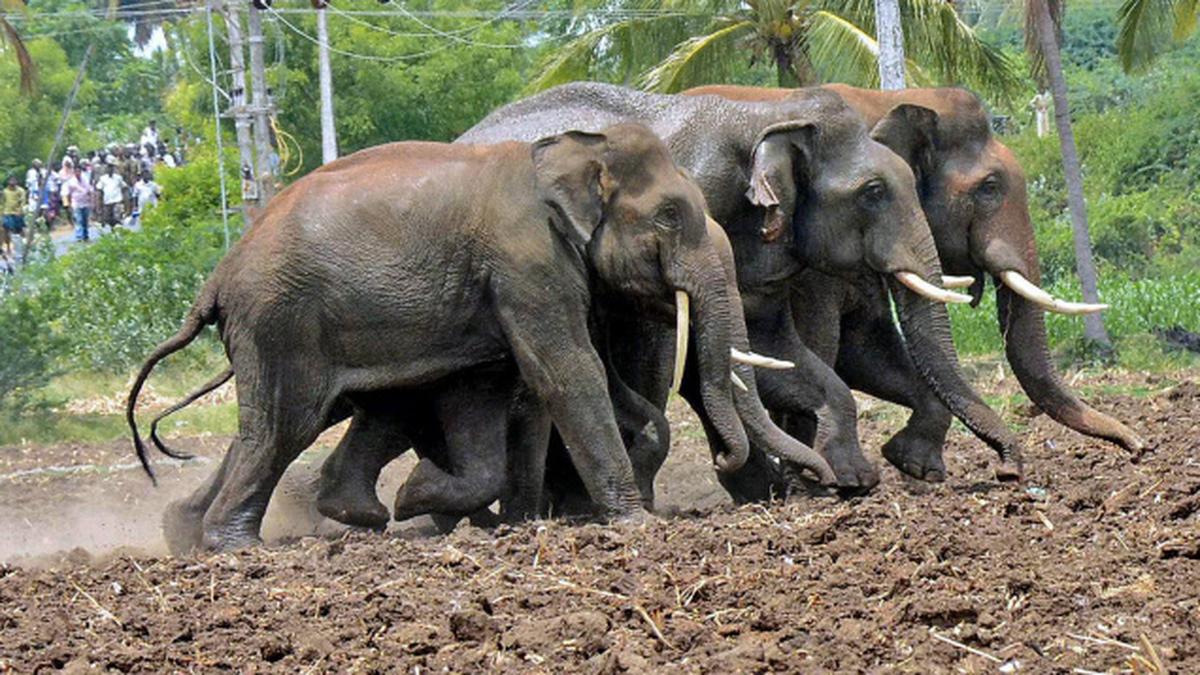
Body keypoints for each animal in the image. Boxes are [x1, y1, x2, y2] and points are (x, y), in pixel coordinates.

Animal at [125, 123, 836, 553]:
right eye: (668, 216)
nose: (819, 483)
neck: (571, 156)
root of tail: (218, 274)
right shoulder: (526, 262)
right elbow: (565, 371)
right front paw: (634, 525)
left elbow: (485, 391)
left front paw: (421, 499)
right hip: (281, 323)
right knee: (281, 425)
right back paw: (236, 548)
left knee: (330, 417)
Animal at [684, 83, 1143, 483]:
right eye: (990, 187)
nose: (1139, 448)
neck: (891, 98)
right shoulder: (812, 262)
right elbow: (821, 345)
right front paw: (821, 480)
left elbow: (865, 345)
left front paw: (916, 467)